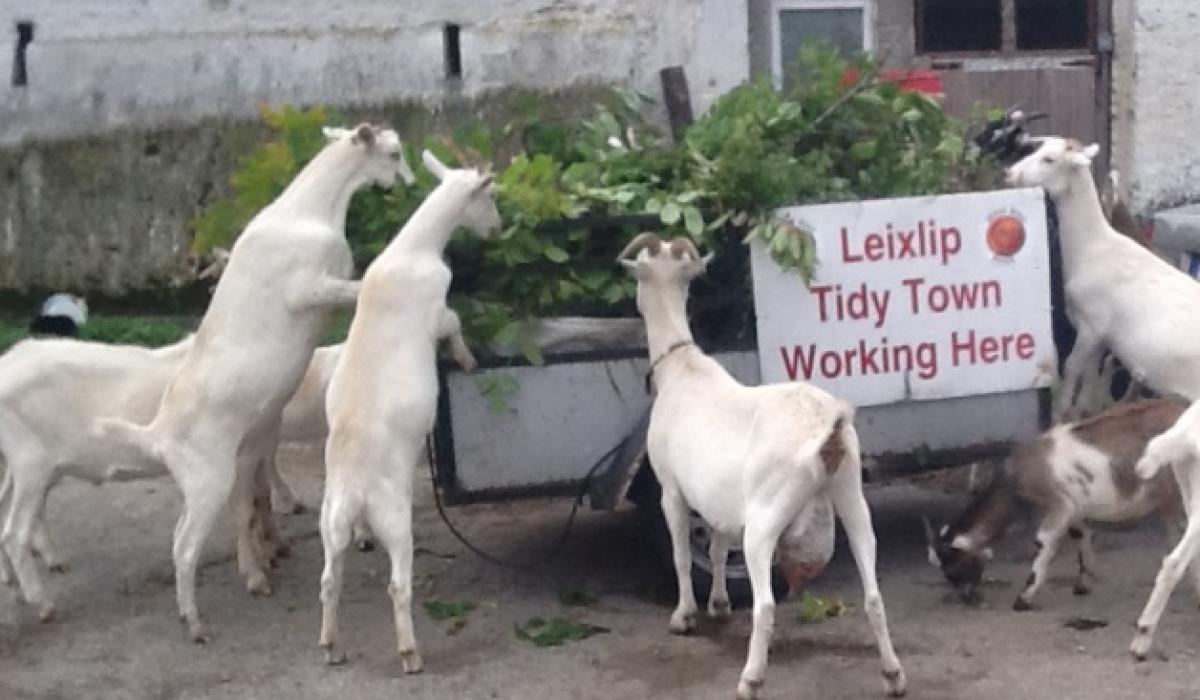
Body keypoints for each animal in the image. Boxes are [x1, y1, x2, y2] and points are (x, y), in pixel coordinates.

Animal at [93, 123, 414, 642]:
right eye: (393, 153)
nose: (406, 182)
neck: (305, 212)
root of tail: (158, 433)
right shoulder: (311, 286)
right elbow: (357, 285)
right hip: (208, 480)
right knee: (184, 545)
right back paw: (195, 622)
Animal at [619, 233, 904, 699]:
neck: (682, 367)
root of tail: (825, 429)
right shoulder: (717, 500)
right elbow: (717, 548)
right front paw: (718, 604)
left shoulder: (672, 490)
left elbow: (682, 555)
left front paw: (685, 615)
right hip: (851, 498)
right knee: (874, 594)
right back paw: (893, 675)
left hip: (767, 518)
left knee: (767, 604)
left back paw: (750, 680)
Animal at [926, 399, 1188, 609]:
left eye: (952, 570)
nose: (966, 598)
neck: (1014, 483)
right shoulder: (1074, 507)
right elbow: (1081, 535)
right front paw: (1083, 582)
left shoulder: (1059, 505)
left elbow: (1042, 543)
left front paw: (1024, 598)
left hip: (1175, 495)